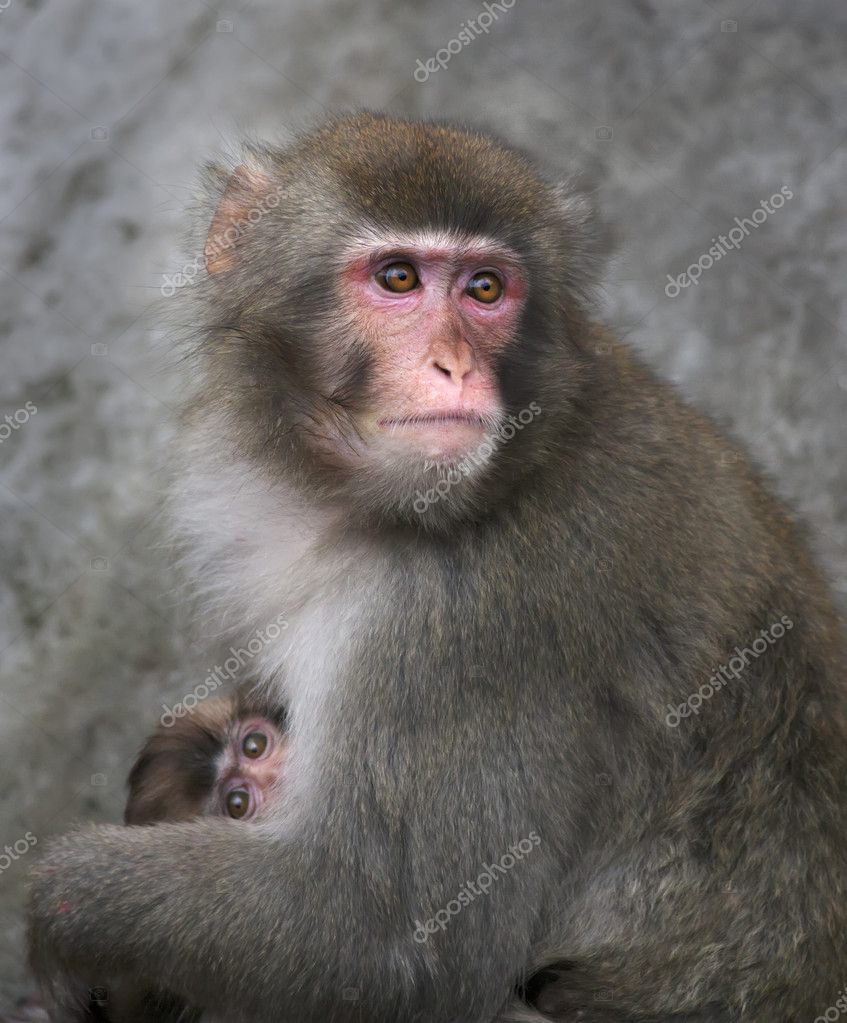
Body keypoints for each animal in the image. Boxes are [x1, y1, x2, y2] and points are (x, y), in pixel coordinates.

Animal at [27, 113, 847, 1023]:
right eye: (398, 278)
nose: (453, 365)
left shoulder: (469, 619)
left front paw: (61, 904)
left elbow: (392, 945)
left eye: (485, 289)